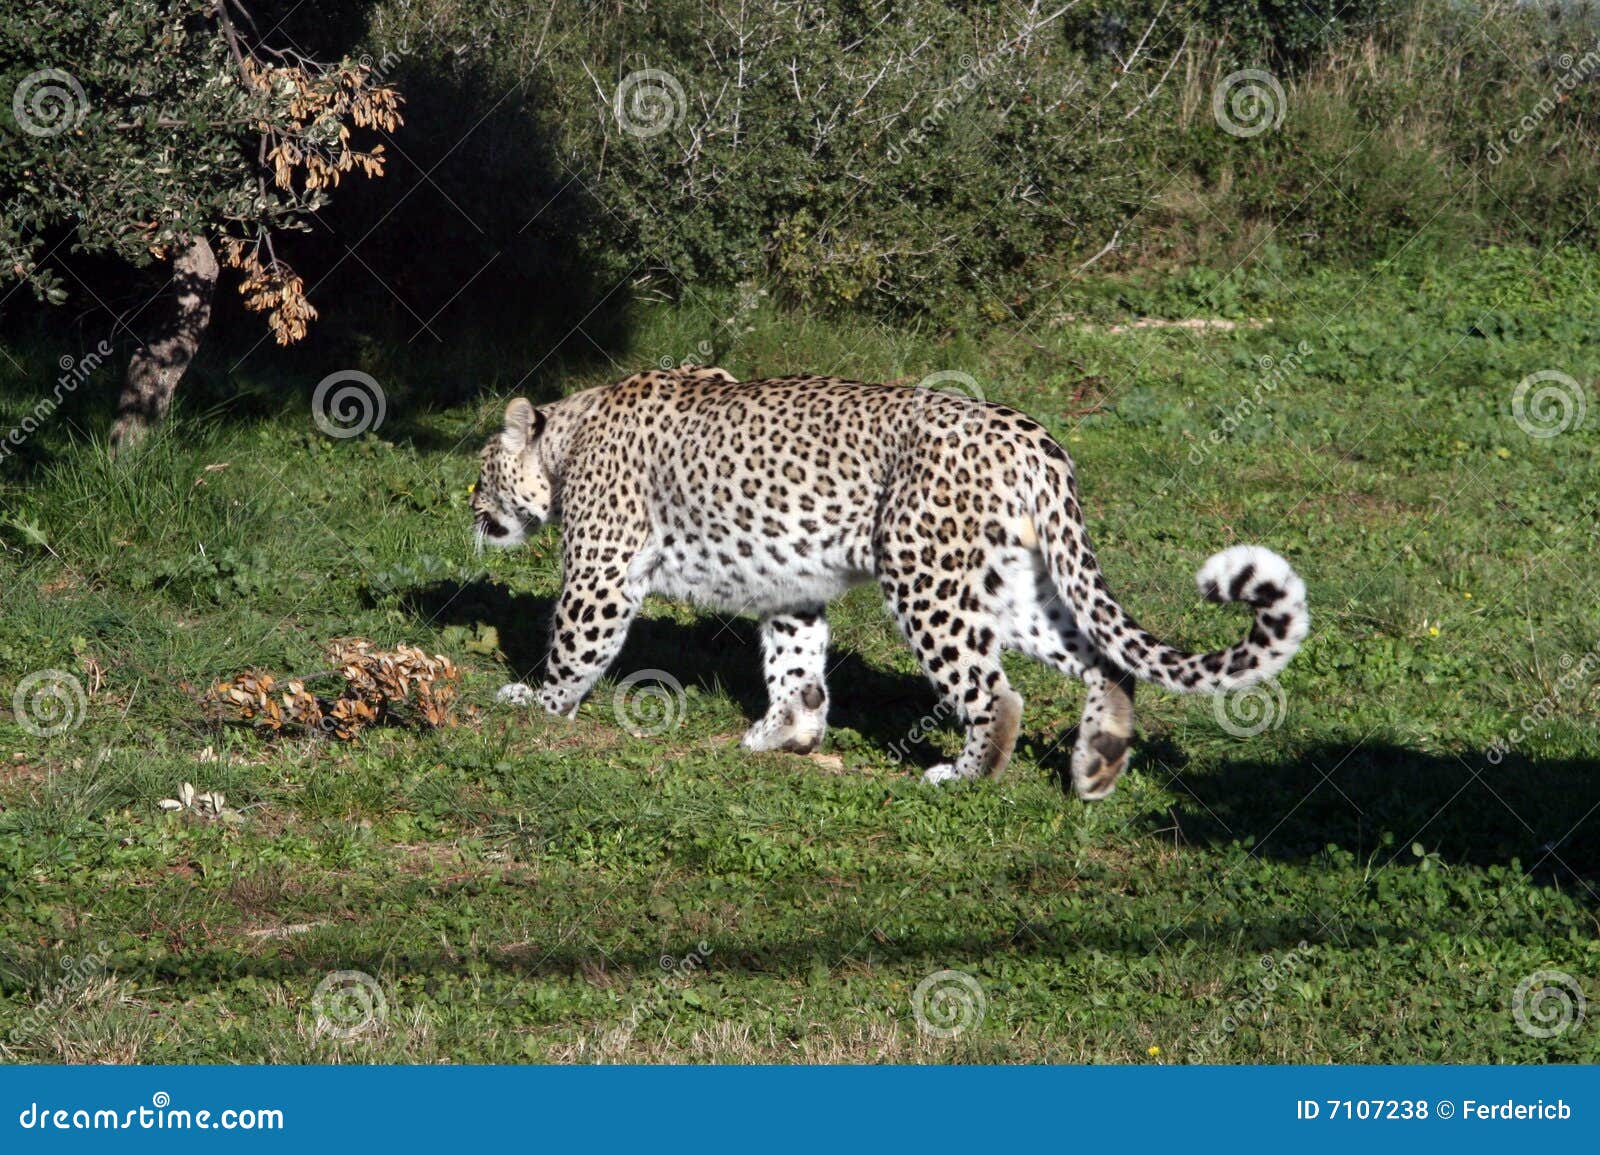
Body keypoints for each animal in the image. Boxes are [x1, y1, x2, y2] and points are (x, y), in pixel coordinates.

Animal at [472, 366, 1309, 799]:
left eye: (482, 469)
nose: (470, 509)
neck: (568, 439)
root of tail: (1033, 436)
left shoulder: (602, 570)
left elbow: (574, 643)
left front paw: (535, 702)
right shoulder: (792, 588)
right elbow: (796, 665)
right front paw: (789, 734)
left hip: (924, 576)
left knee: (996, 691)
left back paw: (963, 774)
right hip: (1016, 582)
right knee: (1104, 657)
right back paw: (1097, 760)